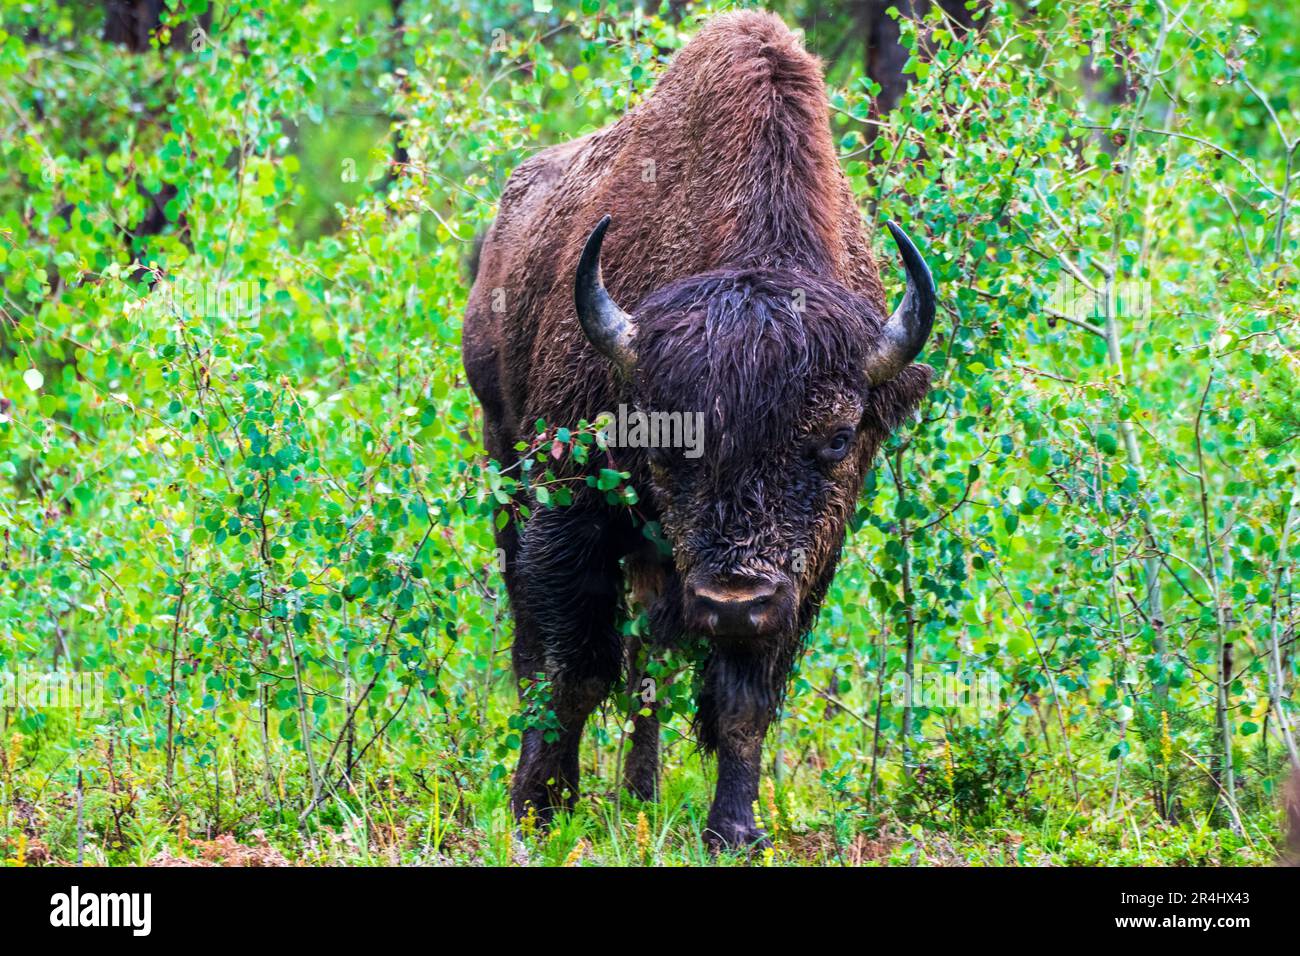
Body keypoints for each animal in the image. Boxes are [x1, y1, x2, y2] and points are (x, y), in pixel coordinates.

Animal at [462, 10, 935, 849]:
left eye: (838, 436)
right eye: (662, 435)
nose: (733, 599)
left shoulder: (804, 569)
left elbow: (743, 698)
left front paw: (735, 829)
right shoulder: (570, 503)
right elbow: (572, 665)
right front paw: (540, 809)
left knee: (649, 657)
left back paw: (642, 791)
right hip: (506, 457)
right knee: (549, 643)